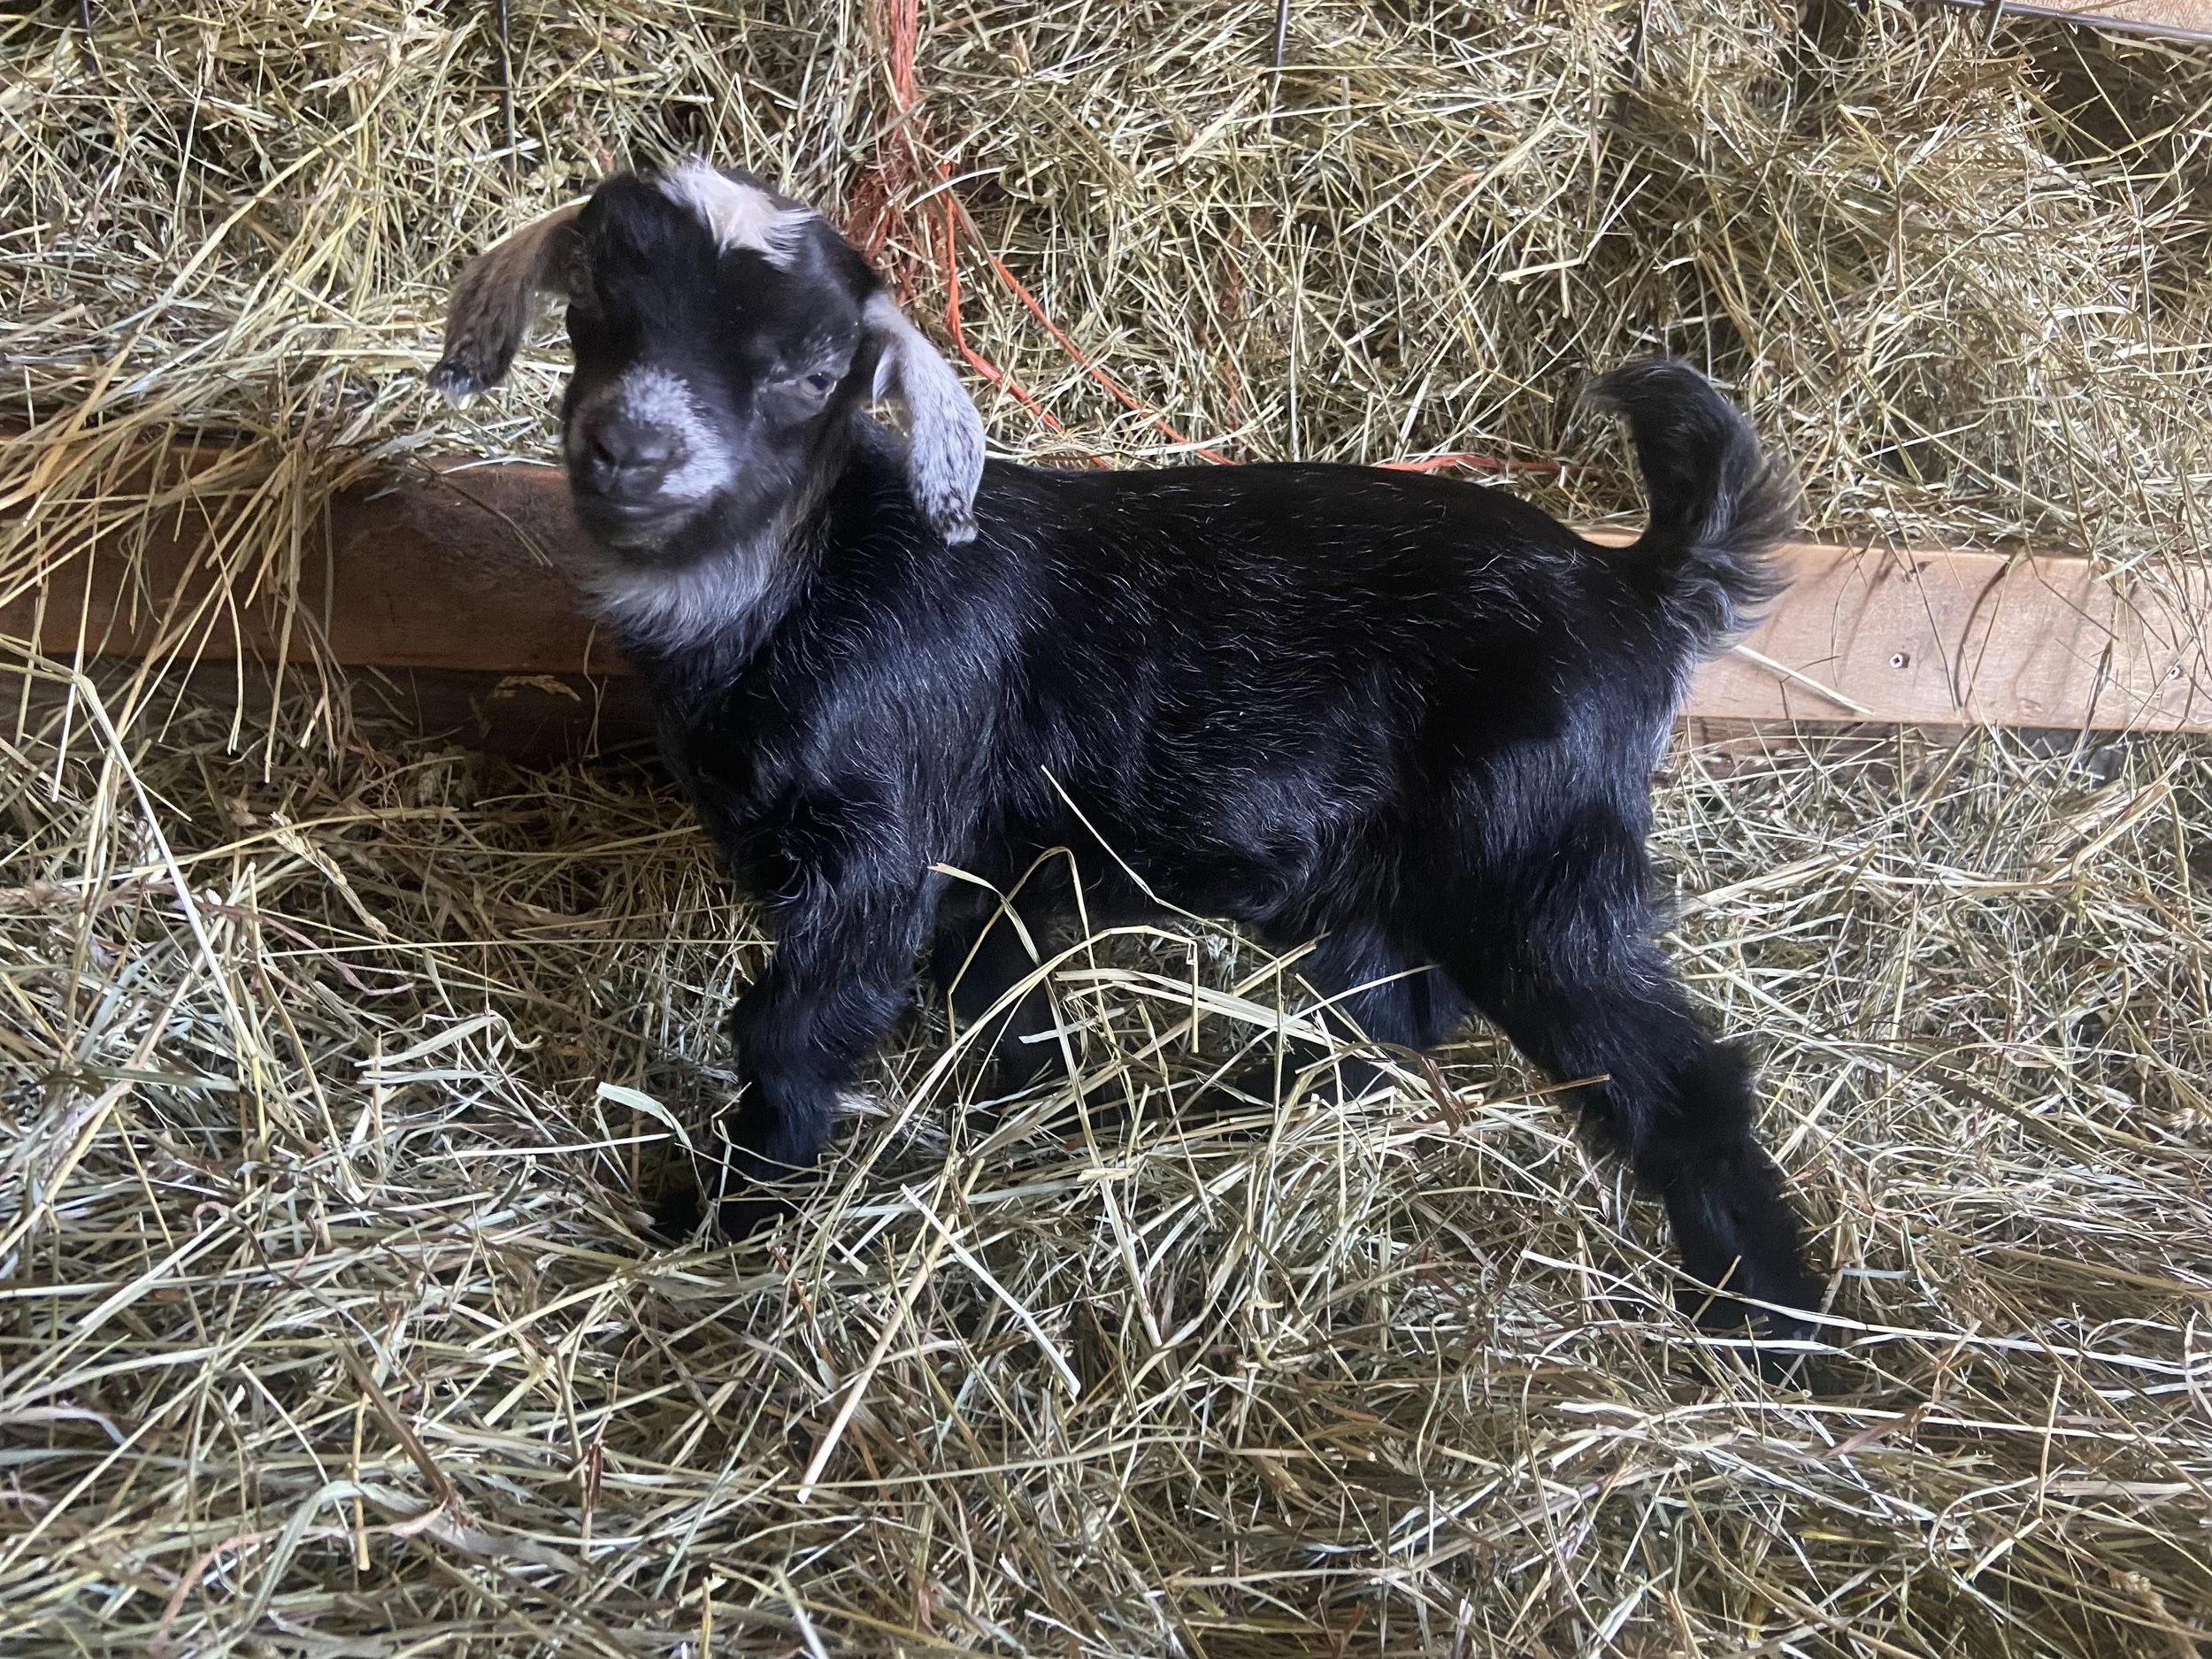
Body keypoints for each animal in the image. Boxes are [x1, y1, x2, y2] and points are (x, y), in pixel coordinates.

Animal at [434, 158, 1820, 1345]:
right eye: (595, 309)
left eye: (816, 368)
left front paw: (729, 1208)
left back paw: (1775, 1316)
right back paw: (1239, 1101)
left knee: (1677, 1076)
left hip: (1537, 860)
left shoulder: (873, 856)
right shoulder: (990, 873)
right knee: (1394, 1008)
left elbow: (795, 1026)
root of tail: (1634, 585)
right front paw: (1036, 1116)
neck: (801, 574)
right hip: (1386, 868)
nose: (631, 449)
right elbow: (1000, 1010)